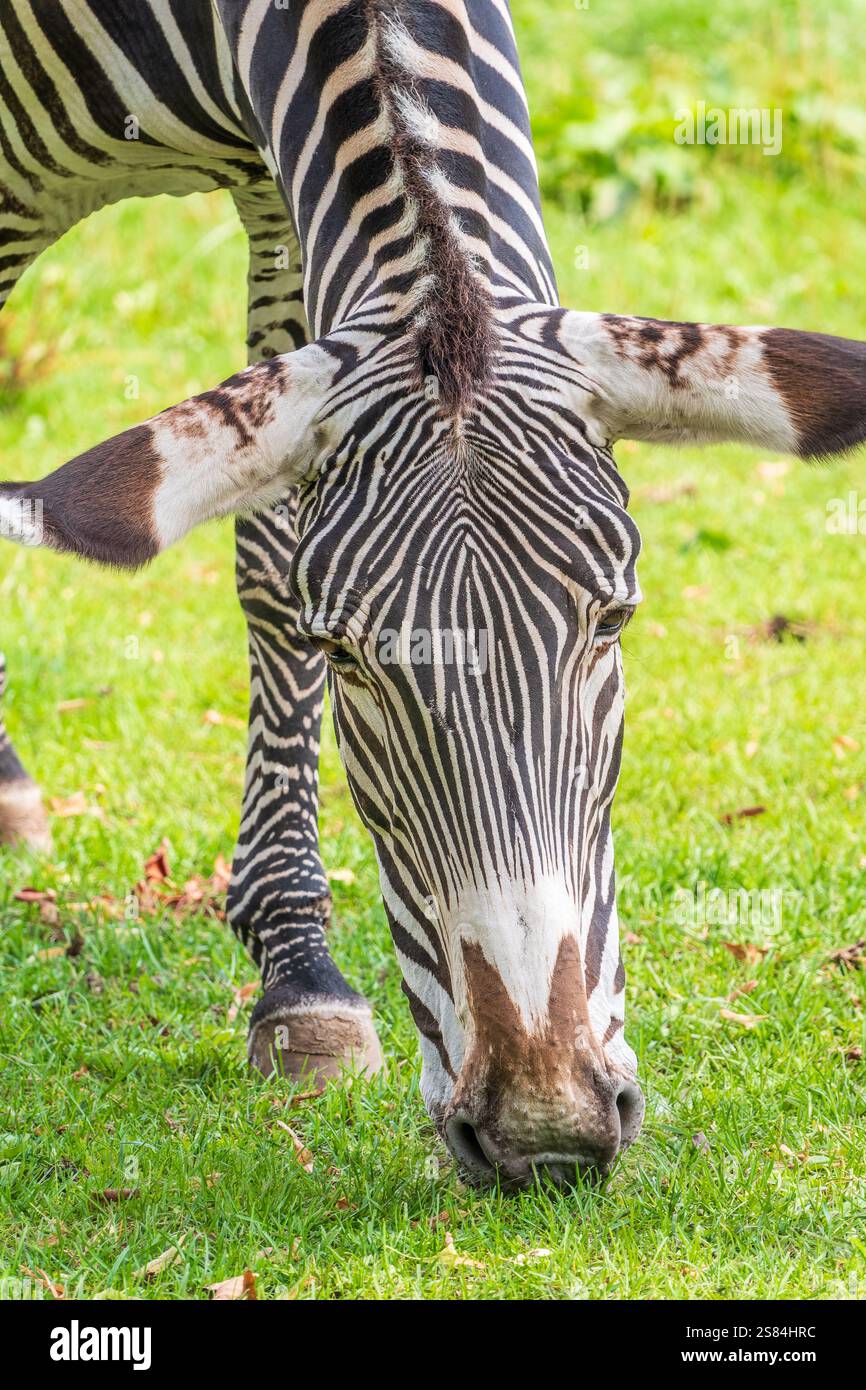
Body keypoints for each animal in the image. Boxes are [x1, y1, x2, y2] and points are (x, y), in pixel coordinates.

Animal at [1, 1, 864, 1189]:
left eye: (614, 619)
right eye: (349, 654)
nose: (546, 1129)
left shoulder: (285, 194)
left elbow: (270, 548)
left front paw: (294, 969)